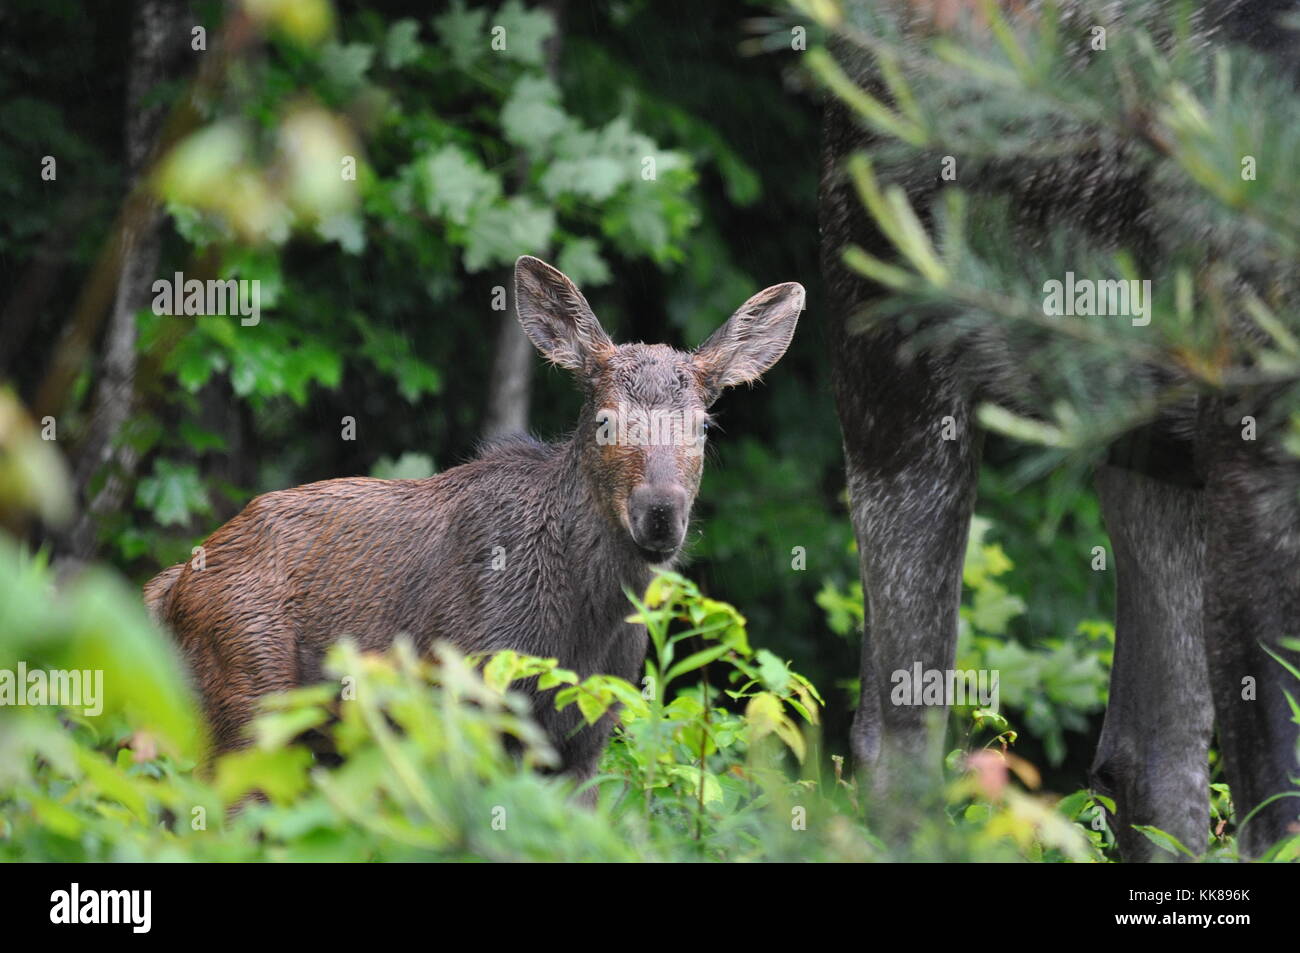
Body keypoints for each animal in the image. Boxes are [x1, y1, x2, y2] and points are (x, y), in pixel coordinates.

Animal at [144, 256, 804, 784]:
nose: (660, 513)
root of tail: (171, 585)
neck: (585, 625)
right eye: (604, 419)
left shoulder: (587, 737)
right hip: (249, 698)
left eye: (704, 425)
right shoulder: (466, 699)